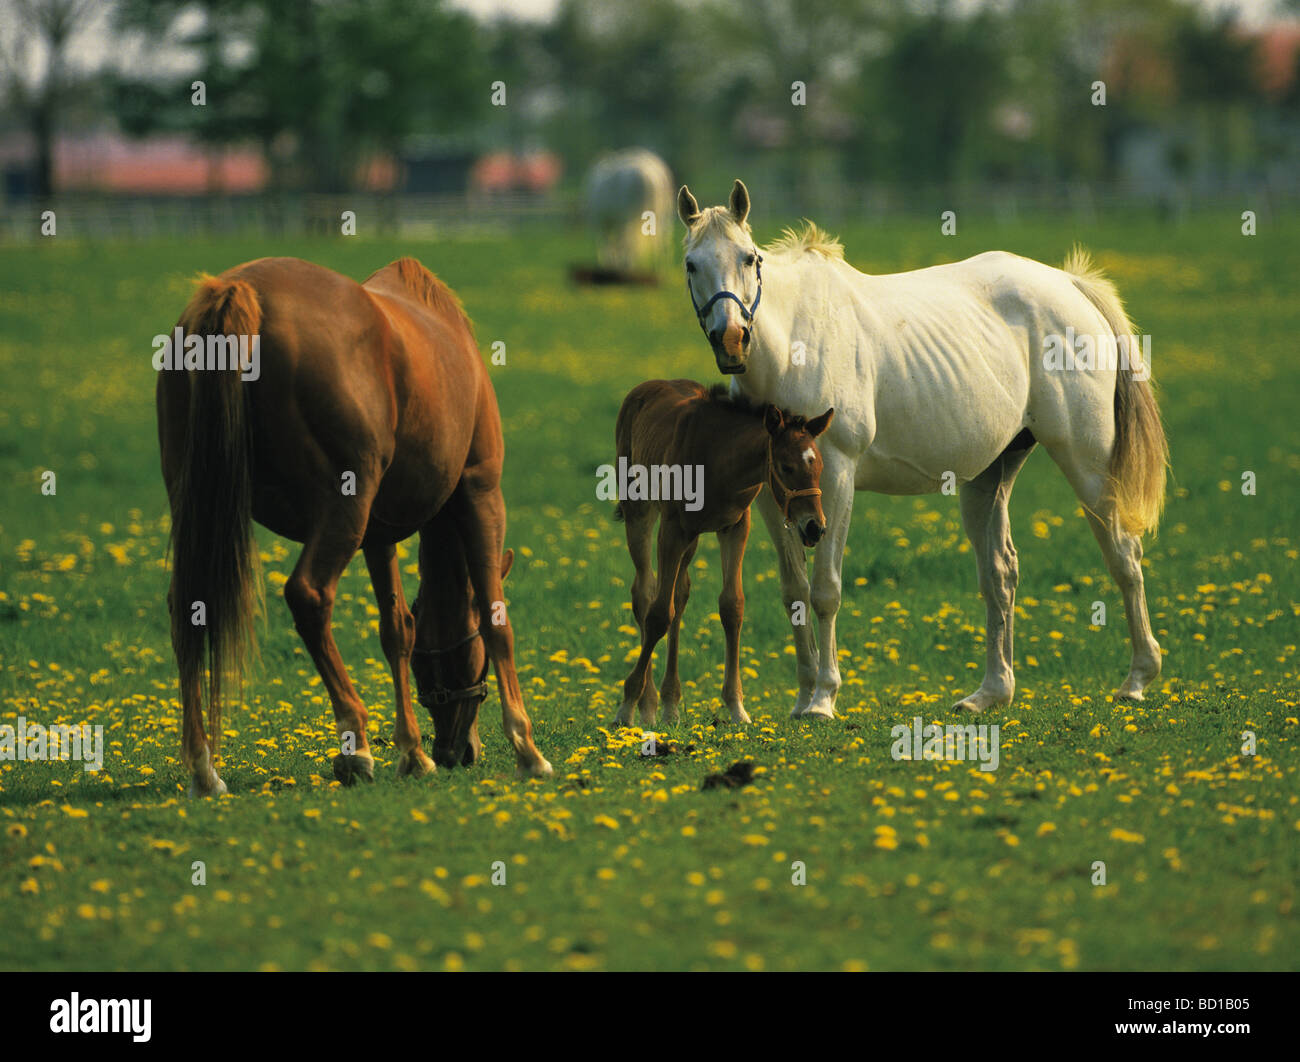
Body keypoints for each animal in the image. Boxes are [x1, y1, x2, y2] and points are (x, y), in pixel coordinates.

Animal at [156, 255, 553, 796]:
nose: (454, 752)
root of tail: (240, 291)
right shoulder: (480, 493)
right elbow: (497, 622)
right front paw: (526, 747)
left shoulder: (379, 535)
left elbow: (397, 630)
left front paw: (412, 752)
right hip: (345, 506)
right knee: (309, 595)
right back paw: (354, 742)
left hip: (200, 506)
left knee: (188, 609)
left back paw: (203, 767)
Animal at [612, 379, 833, 727]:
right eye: (786, 467)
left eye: (820, 466)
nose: (814, 528)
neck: (718, 460)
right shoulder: (672, 528)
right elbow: (658, 614)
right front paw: (626, 706)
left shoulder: (735, 527)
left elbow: (732, 607)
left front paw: (736, 707)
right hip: (640, 512)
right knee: (645, 594)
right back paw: (647, 705)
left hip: (692, 537)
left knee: (679, 595)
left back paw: (670, 704)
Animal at [675, 180, 1169, 719]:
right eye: (691, 264)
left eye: (750, 258)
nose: (732, 340)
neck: (791, 349)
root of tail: (1068, 283)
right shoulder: (773, 496)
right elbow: (794, 592)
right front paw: (803, 697)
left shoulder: (837, 478)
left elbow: (825, 591)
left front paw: (823, 698)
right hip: (989, 477)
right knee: (1000, 574)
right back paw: (991, 693)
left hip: (1088, 464)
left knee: (1124, 556)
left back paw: (1137, 679)